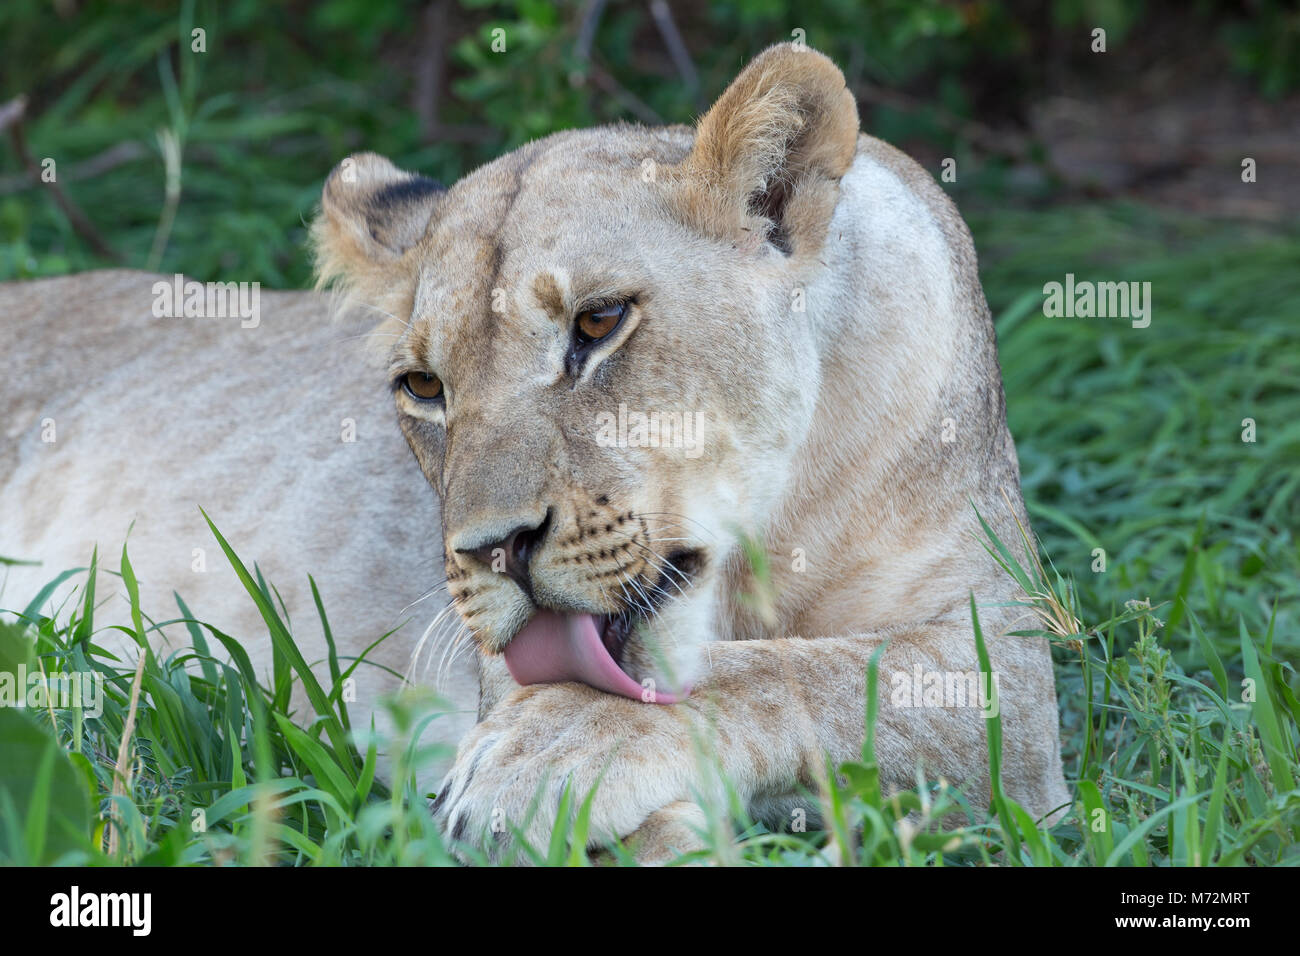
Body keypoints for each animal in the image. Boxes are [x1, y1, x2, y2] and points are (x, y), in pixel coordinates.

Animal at [1, 43, 1069, 862]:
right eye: (424, 387)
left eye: (598, 322)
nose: (493, 550)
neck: (767, 546)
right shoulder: (495, 682)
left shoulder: (1001, 672)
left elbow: (798, 673)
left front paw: (554, 756)